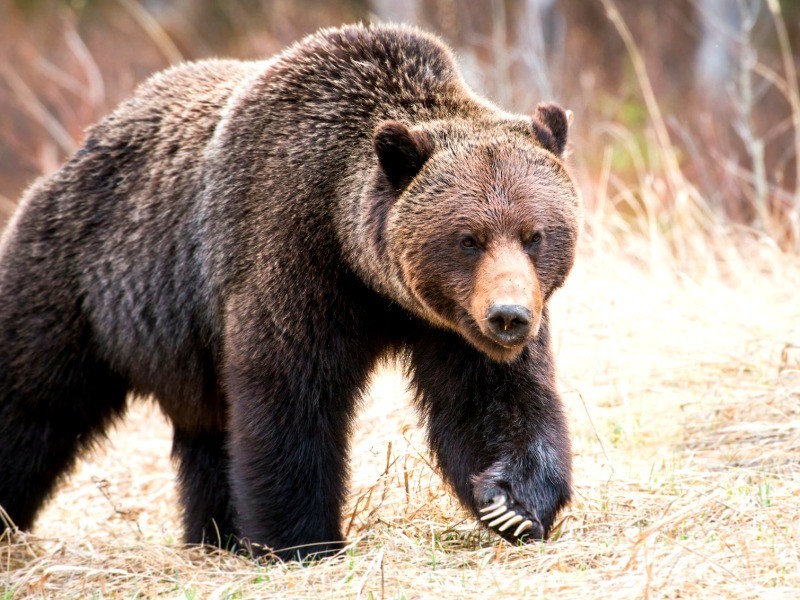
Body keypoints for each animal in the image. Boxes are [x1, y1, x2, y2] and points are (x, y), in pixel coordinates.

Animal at [0, 23, 581, 560]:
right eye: (468, 238)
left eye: (535, 234)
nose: (508, 316)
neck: (365, 272)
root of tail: (86, 142)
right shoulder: (292, 257)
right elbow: (290, 397)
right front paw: (301, 540)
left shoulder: (449, 323)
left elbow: (494, 399)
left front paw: (513, 504)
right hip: (85, 279)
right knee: (33, 399)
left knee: (208, 432)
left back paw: (216, 535)